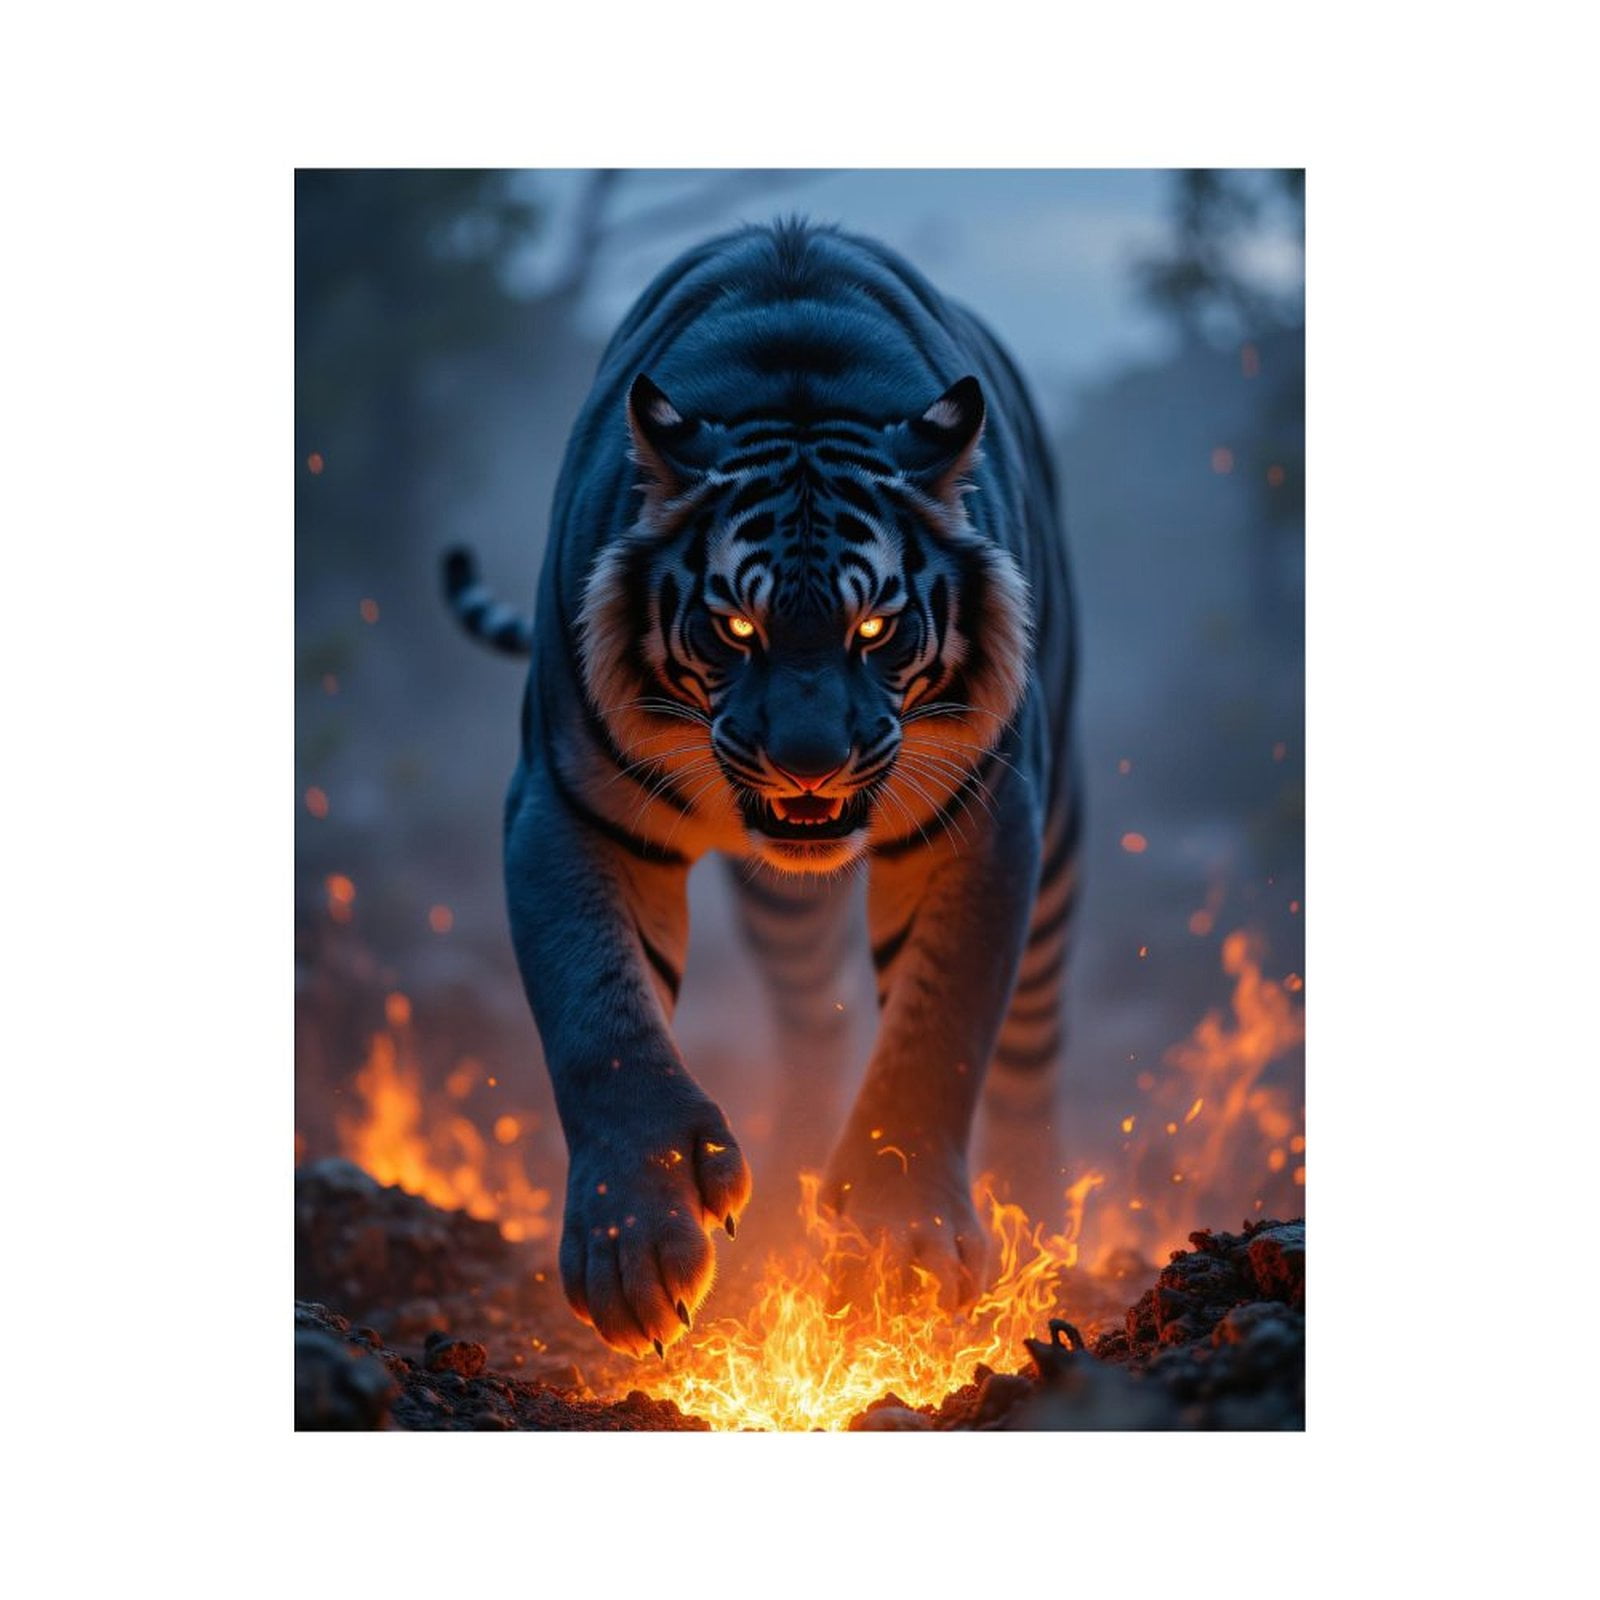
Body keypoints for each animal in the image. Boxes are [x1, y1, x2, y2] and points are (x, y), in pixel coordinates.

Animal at [444, 220, 1079, 1358]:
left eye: (875, 627)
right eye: (736, 626)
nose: (808, 764)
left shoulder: (989, 814)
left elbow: (941, 1029)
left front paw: (902, 1248)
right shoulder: (560, 805)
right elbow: (599, 1019)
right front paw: (631, 1248)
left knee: (1028, 1046)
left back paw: (1039, 1195)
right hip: (780, 912)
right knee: (812, 1022)